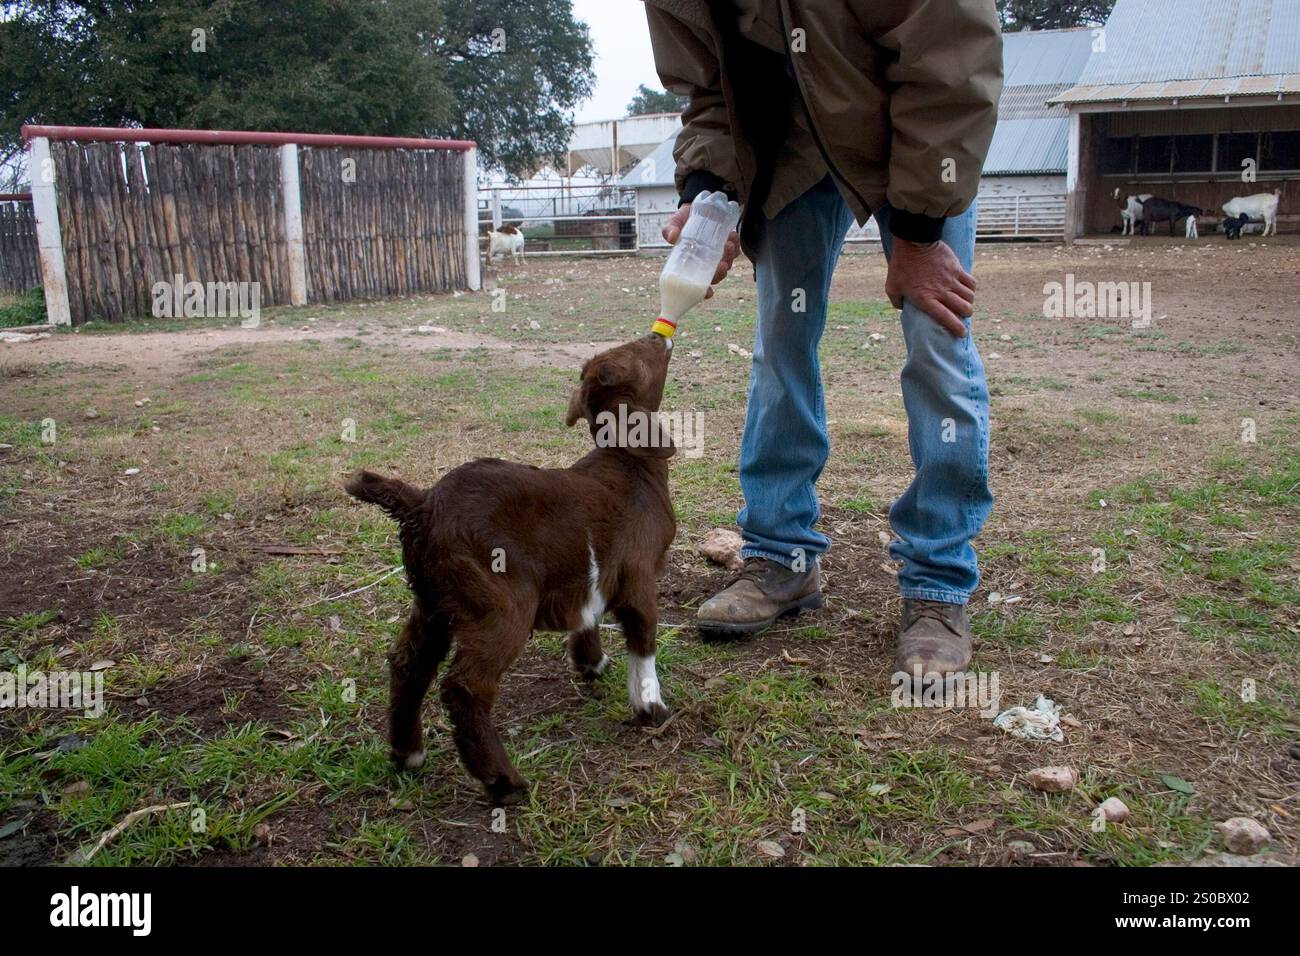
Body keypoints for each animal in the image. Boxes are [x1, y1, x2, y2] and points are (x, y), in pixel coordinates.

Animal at [345, 334, 676, 805]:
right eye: (637, 359)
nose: (658, 337)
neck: (631, 466)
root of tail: (422, 505)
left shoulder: (588, 570)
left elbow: (588, 612)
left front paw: (591, 664)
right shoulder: (638, 573)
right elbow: (644, 636)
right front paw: (651, 707)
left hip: (433, 600)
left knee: (408, 664)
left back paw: (408, 753)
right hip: (497, 602)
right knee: (466, 686)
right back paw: (503, 781)